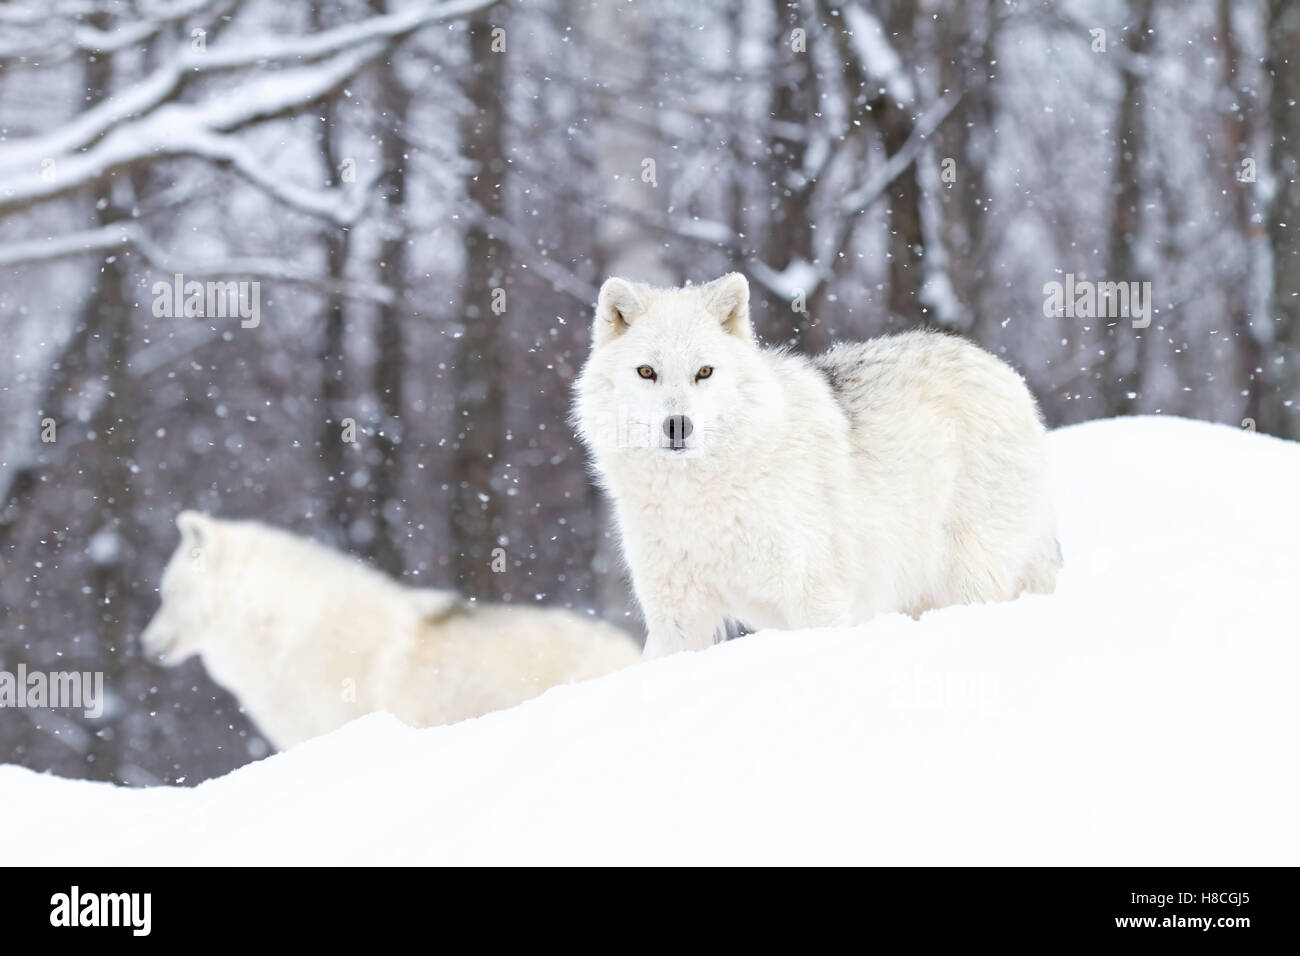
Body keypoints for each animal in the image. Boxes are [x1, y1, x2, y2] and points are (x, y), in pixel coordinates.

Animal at [573, 273, 1060, 658]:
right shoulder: (675, 619)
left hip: (968, 578)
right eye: (647, 372)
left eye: (704, 373)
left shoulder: (816, 600)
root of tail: (1003, 370)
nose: (678, 426)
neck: (700, 498)